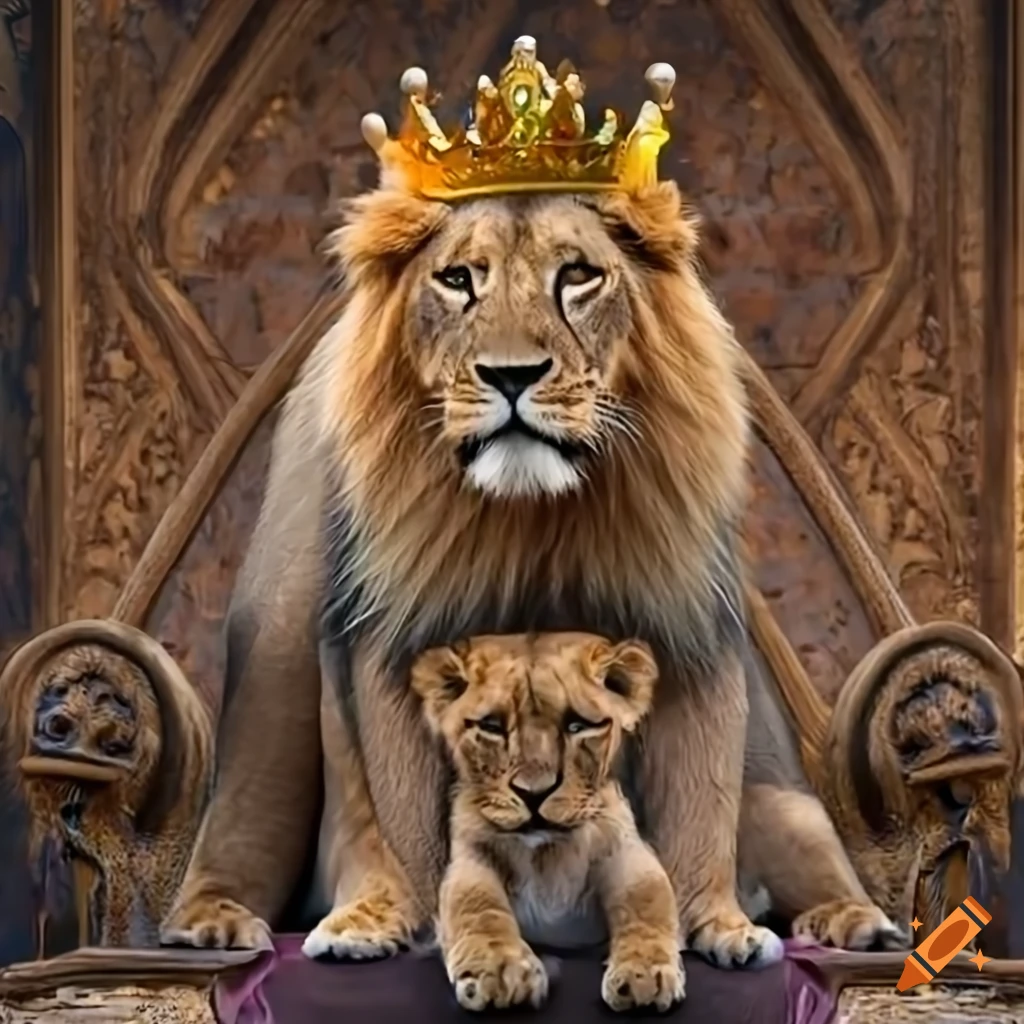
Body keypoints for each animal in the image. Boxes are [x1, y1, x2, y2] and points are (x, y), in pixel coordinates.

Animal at [161, 180, 900, 964]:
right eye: (459, 280)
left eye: (577, 276)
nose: (511, 375)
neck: (532, 519)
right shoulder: (389, 643)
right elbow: (401, 813)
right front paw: (409, 925)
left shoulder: (693, 635)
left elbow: (701, 802)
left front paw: (716, 927)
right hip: (274, 676)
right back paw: (222, 922)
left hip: (785, 796)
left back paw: (858, 922)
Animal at [396, 632, 683, 1013]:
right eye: (491, 727)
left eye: (578, 726)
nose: (534, 793)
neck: (547, 855)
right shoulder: (470, 857)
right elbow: (478, 906)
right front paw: (501, 971)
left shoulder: (627, 850)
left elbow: (647, 903)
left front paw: (644, 973)